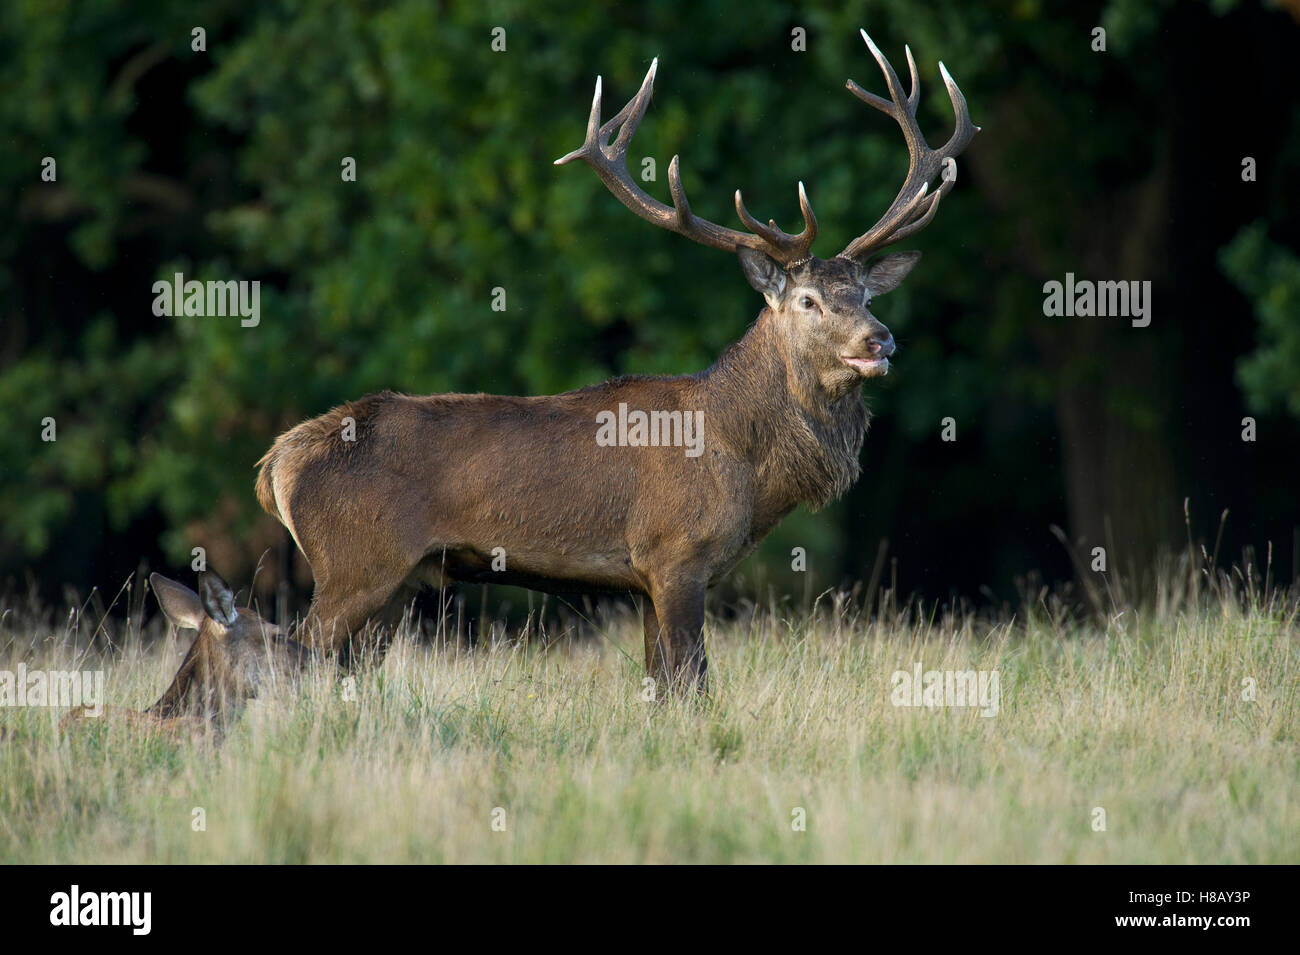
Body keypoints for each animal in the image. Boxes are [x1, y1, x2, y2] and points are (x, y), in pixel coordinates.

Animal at [253, 30, 978, 694]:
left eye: (864, 295)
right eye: (807, 300)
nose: (879, 340)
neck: (746, 464)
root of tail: (277, 464)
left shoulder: (647, 579)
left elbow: (662, 686)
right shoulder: (675, 552)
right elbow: (693, 684)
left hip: (400, 581)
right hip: (355, 562)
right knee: (293, 654)